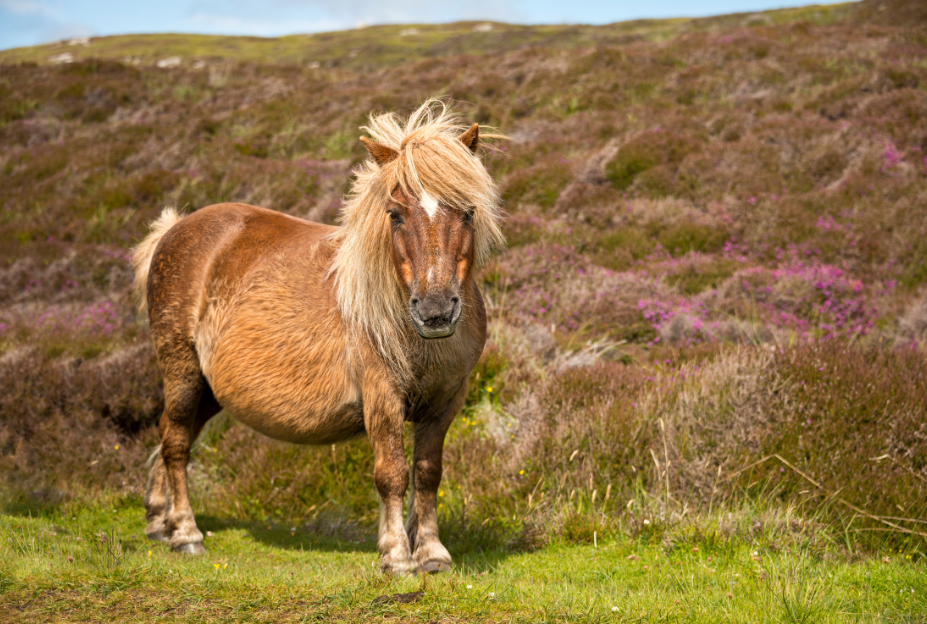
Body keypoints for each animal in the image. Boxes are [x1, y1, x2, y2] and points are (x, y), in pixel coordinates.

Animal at [131, 100, 505, 575]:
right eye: (395, 214)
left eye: (467, 211)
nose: (435, 311)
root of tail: (174, 230)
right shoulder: (382, 396)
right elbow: (392, 473)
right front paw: (397, 556)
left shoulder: (445, 403)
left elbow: (427, 473)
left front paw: (432, 553)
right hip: (182, 371)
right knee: (177, 442)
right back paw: (184, 533)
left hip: (211, 390)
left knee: (169, 433)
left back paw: (158, 521)